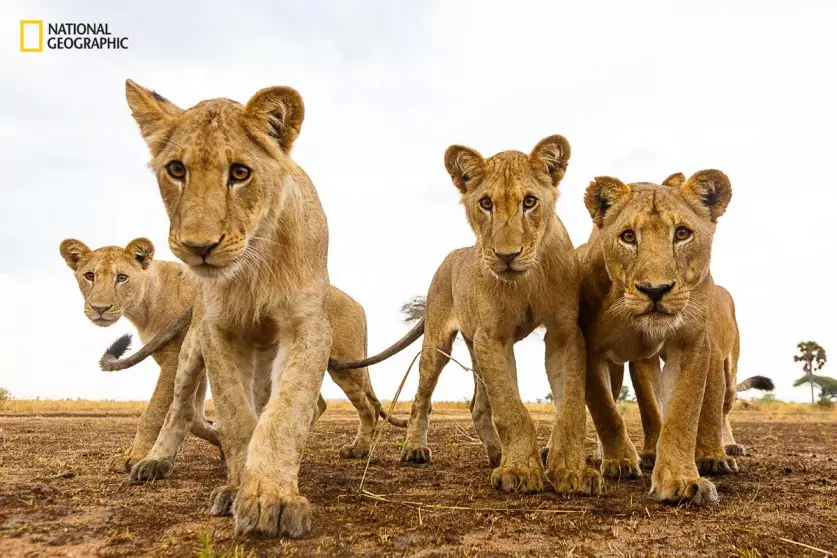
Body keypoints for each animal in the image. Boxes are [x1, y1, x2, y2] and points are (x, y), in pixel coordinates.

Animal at [59, 237, 222, 472]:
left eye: (122, 277)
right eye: (89, 275)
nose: (100, 308)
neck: (144, 307)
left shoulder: (174, 358)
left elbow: (154, 411)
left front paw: (135, 456)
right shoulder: (193, 359)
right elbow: (194, 416)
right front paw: (221, 439)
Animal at [123, 81, 336, 540]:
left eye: (239, 173)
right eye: (176, 170)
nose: (199, 246)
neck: (253, 267)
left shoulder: (308, 324)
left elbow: (285, 412)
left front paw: (271, 497)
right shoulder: (216, 329)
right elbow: (236, 416)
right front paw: (240, 489)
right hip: (190, 350)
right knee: (181, 408)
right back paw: (155, 460)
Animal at [580, 168, 736, 506]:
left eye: (682, 233)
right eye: (628, 236)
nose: (655, 290)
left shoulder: (690, 344)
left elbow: (682, 414)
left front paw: (680, 480)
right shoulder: (588, 346)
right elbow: (606, 410)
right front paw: (621, 461)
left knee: (714, 406)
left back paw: (714, 457)